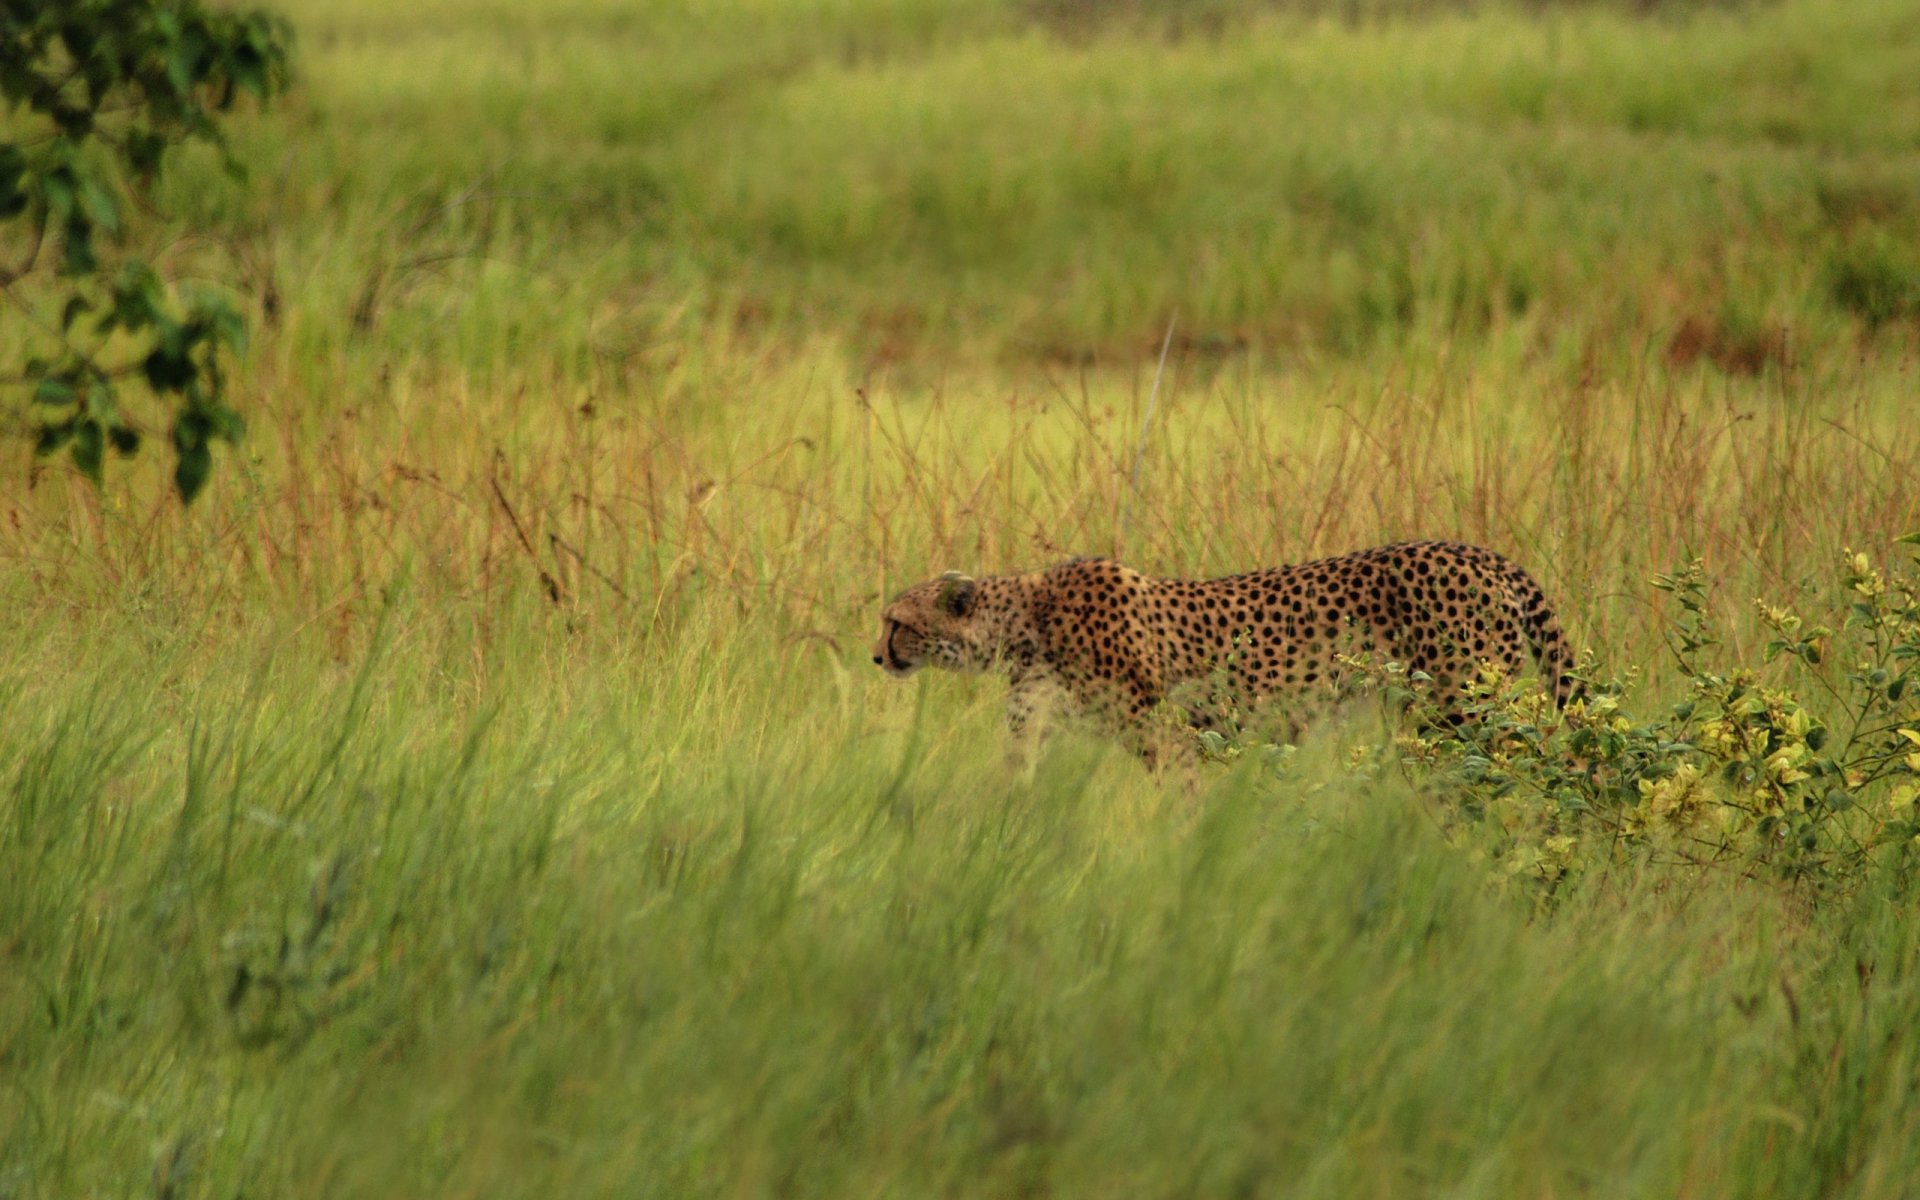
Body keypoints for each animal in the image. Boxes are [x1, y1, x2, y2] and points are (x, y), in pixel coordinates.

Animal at [871, 540, 1577, 753]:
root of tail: (1480, 552)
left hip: (1462, 711)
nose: (876, 657)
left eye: (894, 622)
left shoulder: (1163, 730)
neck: (1026, 620)